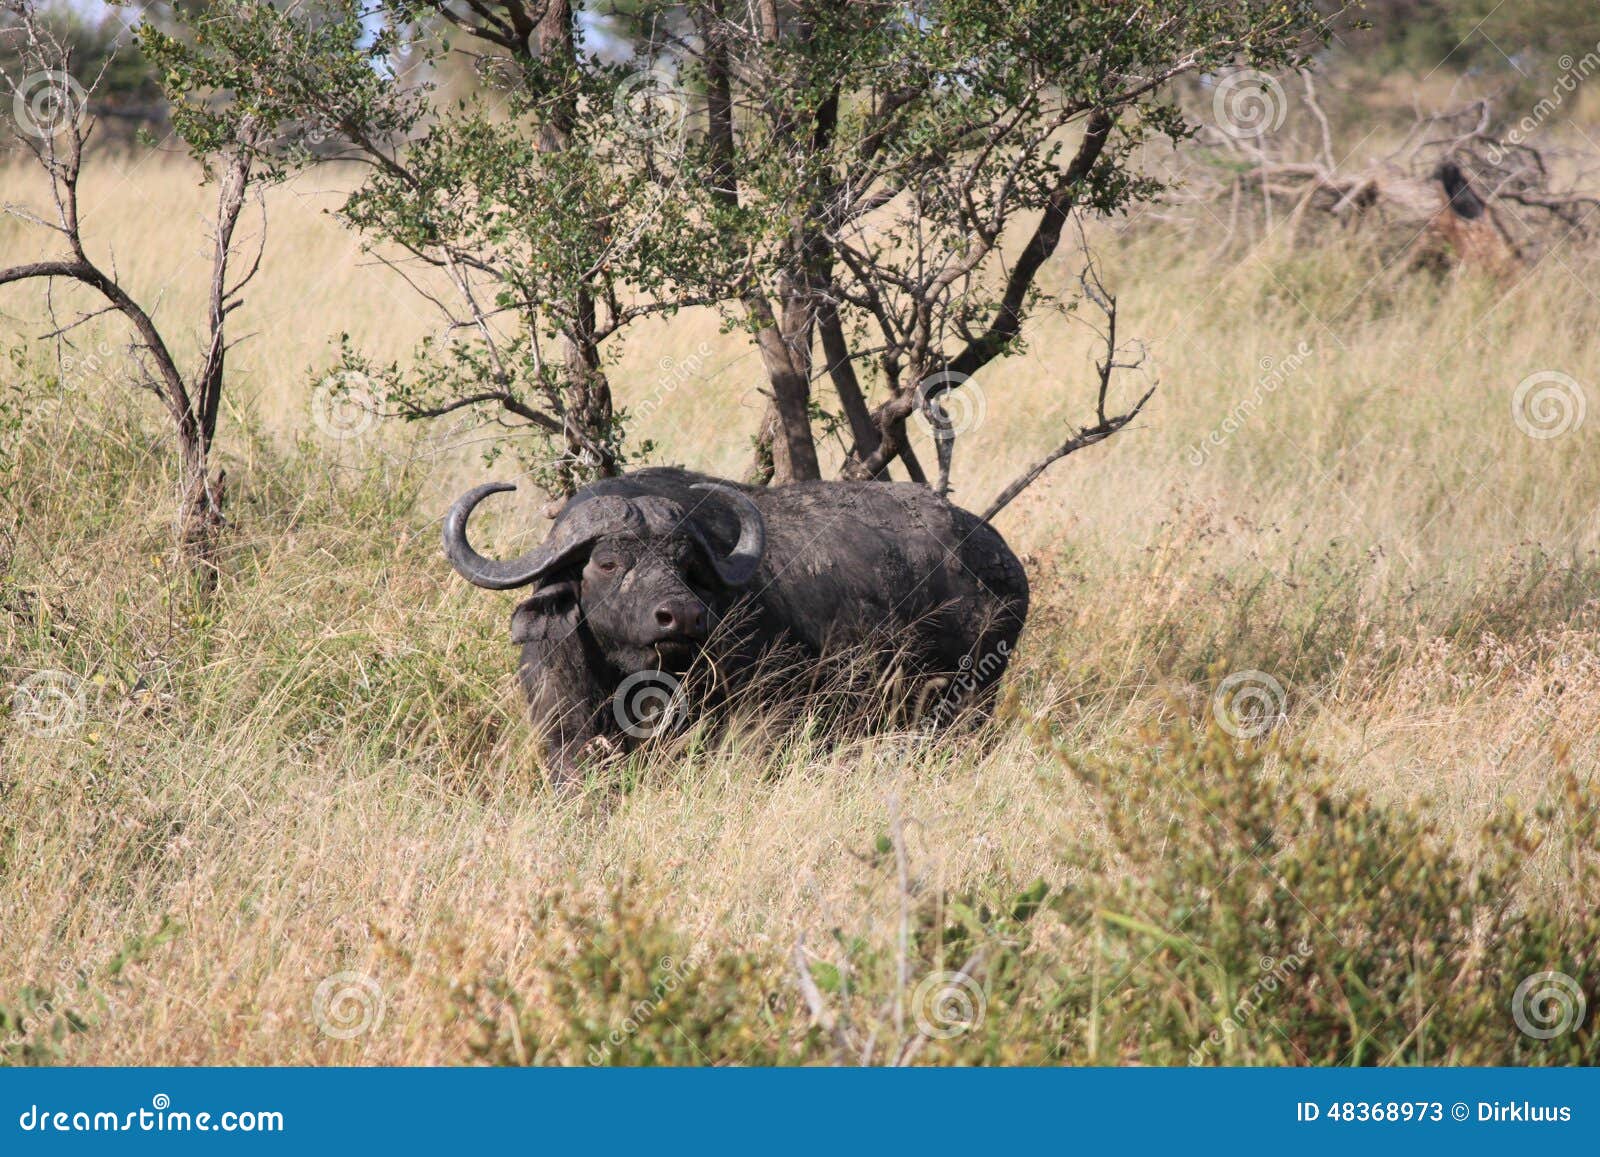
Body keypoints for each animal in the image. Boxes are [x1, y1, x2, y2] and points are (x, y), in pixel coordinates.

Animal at [442, 466, 1028, 782]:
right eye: (606, 562)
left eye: (687, 565)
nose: (681, 615)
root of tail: (996, 554)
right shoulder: (565, 731)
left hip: (968, 699)